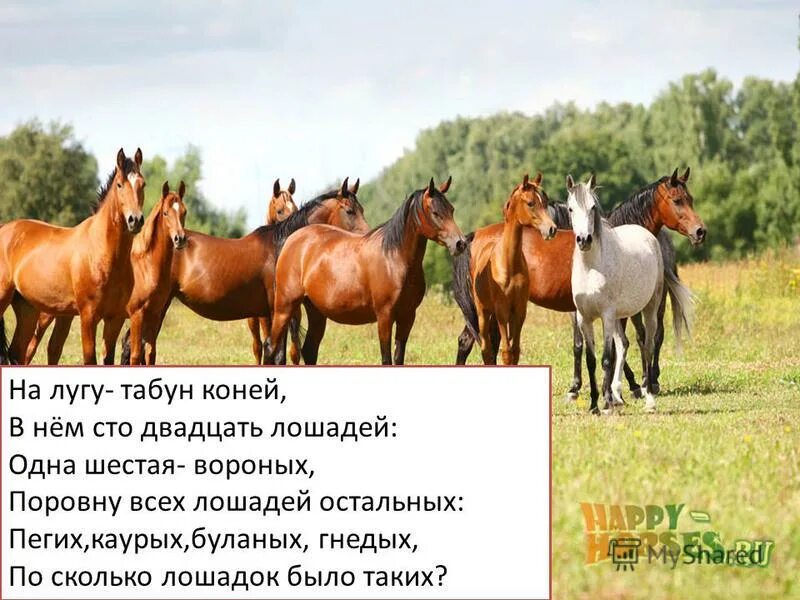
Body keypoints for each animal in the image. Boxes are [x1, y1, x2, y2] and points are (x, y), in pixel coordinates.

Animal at [0, 148, 145, 365]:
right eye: (120, 184)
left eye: (142, 184)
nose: (135, 220)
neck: (102, 254)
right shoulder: (88, 316)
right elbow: (90, 359)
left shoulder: (115, 318)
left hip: (27, 309)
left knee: (17, 351)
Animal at [24, 181, 188, 366]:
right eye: (166, 213)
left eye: (184, 212)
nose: (180, 239)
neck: (147, 266)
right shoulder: (136, 315)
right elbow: (135, 355)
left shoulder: (153, 315)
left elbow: (150, 355)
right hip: (47, 314)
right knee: (31, 347)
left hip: (65, 315)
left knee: (53, 347)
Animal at [266, 177, 466, 365]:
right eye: (435, 213)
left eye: (452, 210)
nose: (460, 243)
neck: (394, 258)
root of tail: (291, 239)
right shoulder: (385, 317)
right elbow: (386, 359)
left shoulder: (407, 316)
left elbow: (398, 357)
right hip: (284, 308)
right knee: (270, 347)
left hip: (316, 312)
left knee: (308, 350)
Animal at [470, 173, 557, 365]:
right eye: (531, 203)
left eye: (545, 202)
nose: (552, 229)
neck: (510, 265)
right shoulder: (502, 311)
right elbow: (506, 352)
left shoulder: (519, 310)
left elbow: (515, 351)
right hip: (483, 313)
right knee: (486, 348)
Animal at [567, 174, 693, 414]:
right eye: (570, 208)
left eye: (593, 207)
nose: (584, 240)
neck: (591, 268)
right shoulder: (583, 317)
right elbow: (591, 359)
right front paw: (594, 405)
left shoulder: (607, 316)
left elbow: (607, 358)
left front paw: (608, 402)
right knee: (626, 343)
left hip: (650, 308)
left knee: (649, 343)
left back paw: (649, 395)